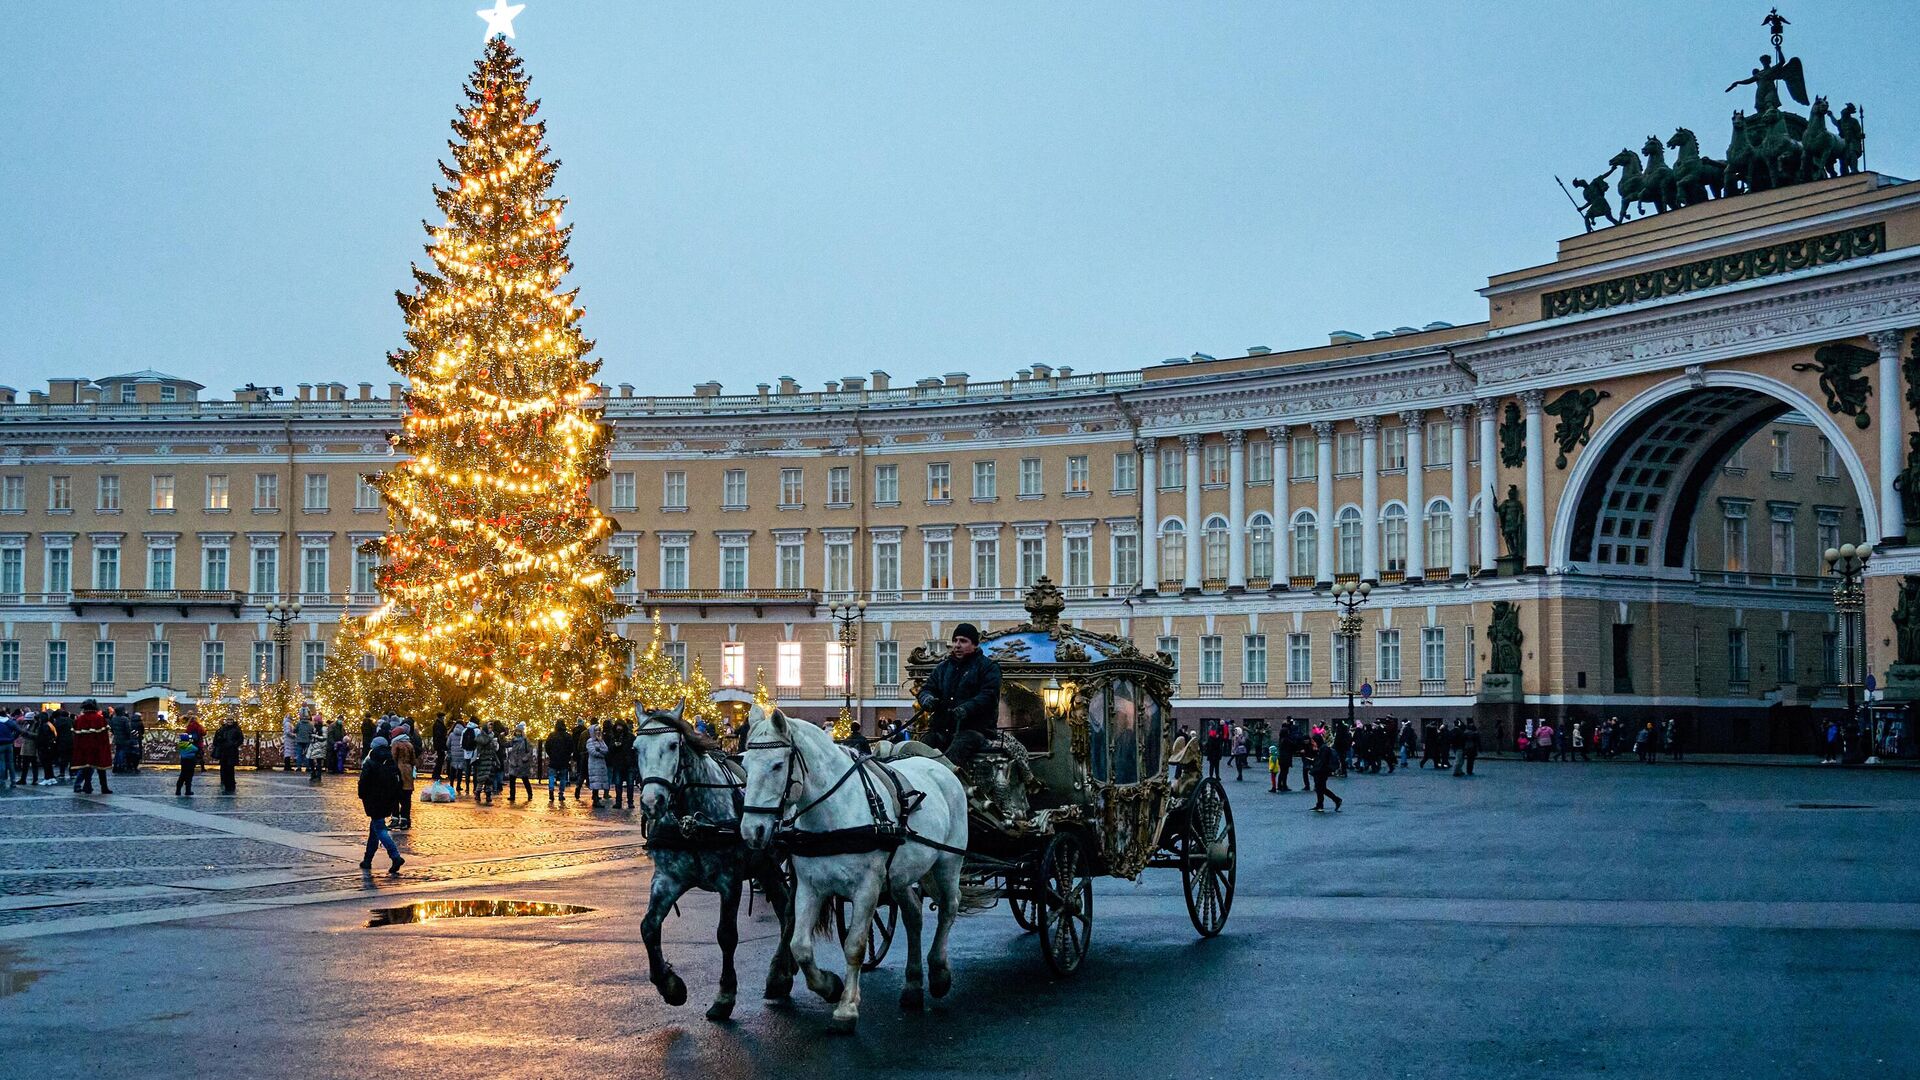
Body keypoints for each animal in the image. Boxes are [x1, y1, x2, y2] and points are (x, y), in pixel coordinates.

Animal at [737, 703, 967, 1030]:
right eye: (745, 763)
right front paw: (829, 986)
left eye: (777, 766)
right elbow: (800, 946)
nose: (751, 831)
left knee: (949, 907)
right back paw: (912, 985)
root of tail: (942, 768)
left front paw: (846, 1008)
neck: (832, 813)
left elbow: (855, 945)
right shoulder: (809, 887)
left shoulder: (867, 889)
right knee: (913, 915)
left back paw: (938, 974)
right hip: (899, 877)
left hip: (948, 863)